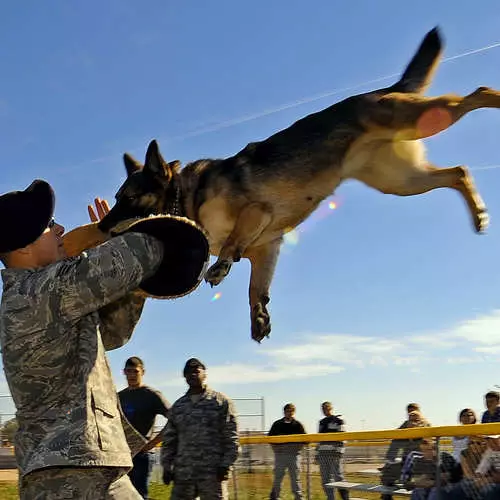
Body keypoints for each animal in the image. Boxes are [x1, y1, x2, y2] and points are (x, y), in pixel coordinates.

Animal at [97, 26, 492, 340]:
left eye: (130, 197)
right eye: (116, 197)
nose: (100, 227)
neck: (186, 197)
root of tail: (385, 89)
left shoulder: (256, 214)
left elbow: (233, 243)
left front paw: (221, 266)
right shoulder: (266, 249)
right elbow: (255, 289)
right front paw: (258, 317)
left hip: (419, 121)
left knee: (480, 92)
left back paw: (494, 101)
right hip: (402, 180)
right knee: (459, 172)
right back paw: (479, 215)